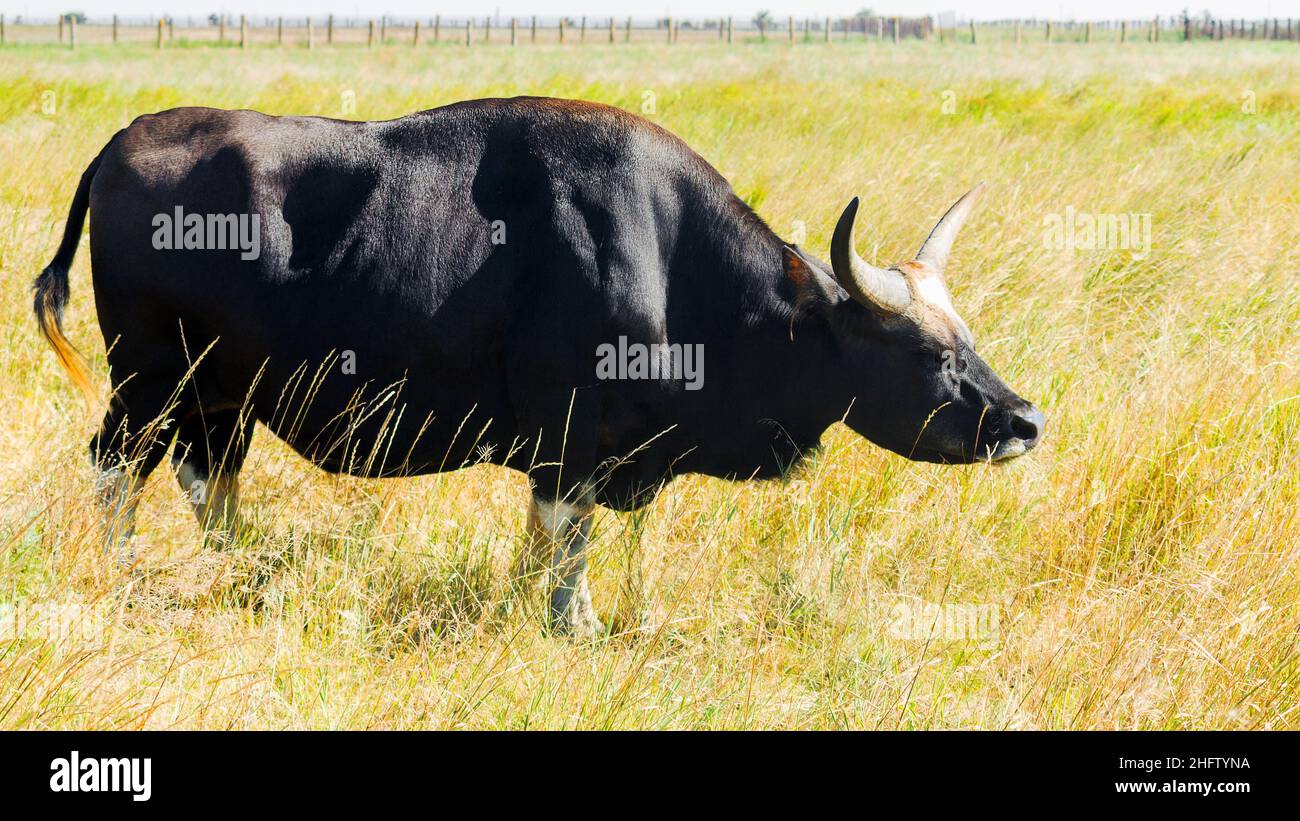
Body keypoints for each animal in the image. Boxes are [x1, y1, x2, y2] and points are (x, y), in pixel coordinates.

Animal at [34, 98, 1045, 639]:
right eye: (927, 351)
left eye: (969, 336)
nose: (1024, 420)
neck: (668, 261)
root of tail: (123, 141)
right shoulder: (569, 442)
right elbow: (567, 544)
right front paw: (575, 625)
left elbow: (546, 544)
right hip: (147, 383)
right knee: (117, 470)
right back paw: (126, 574)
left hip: (219, 398)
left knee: (207, 479)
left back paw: (246, 572)